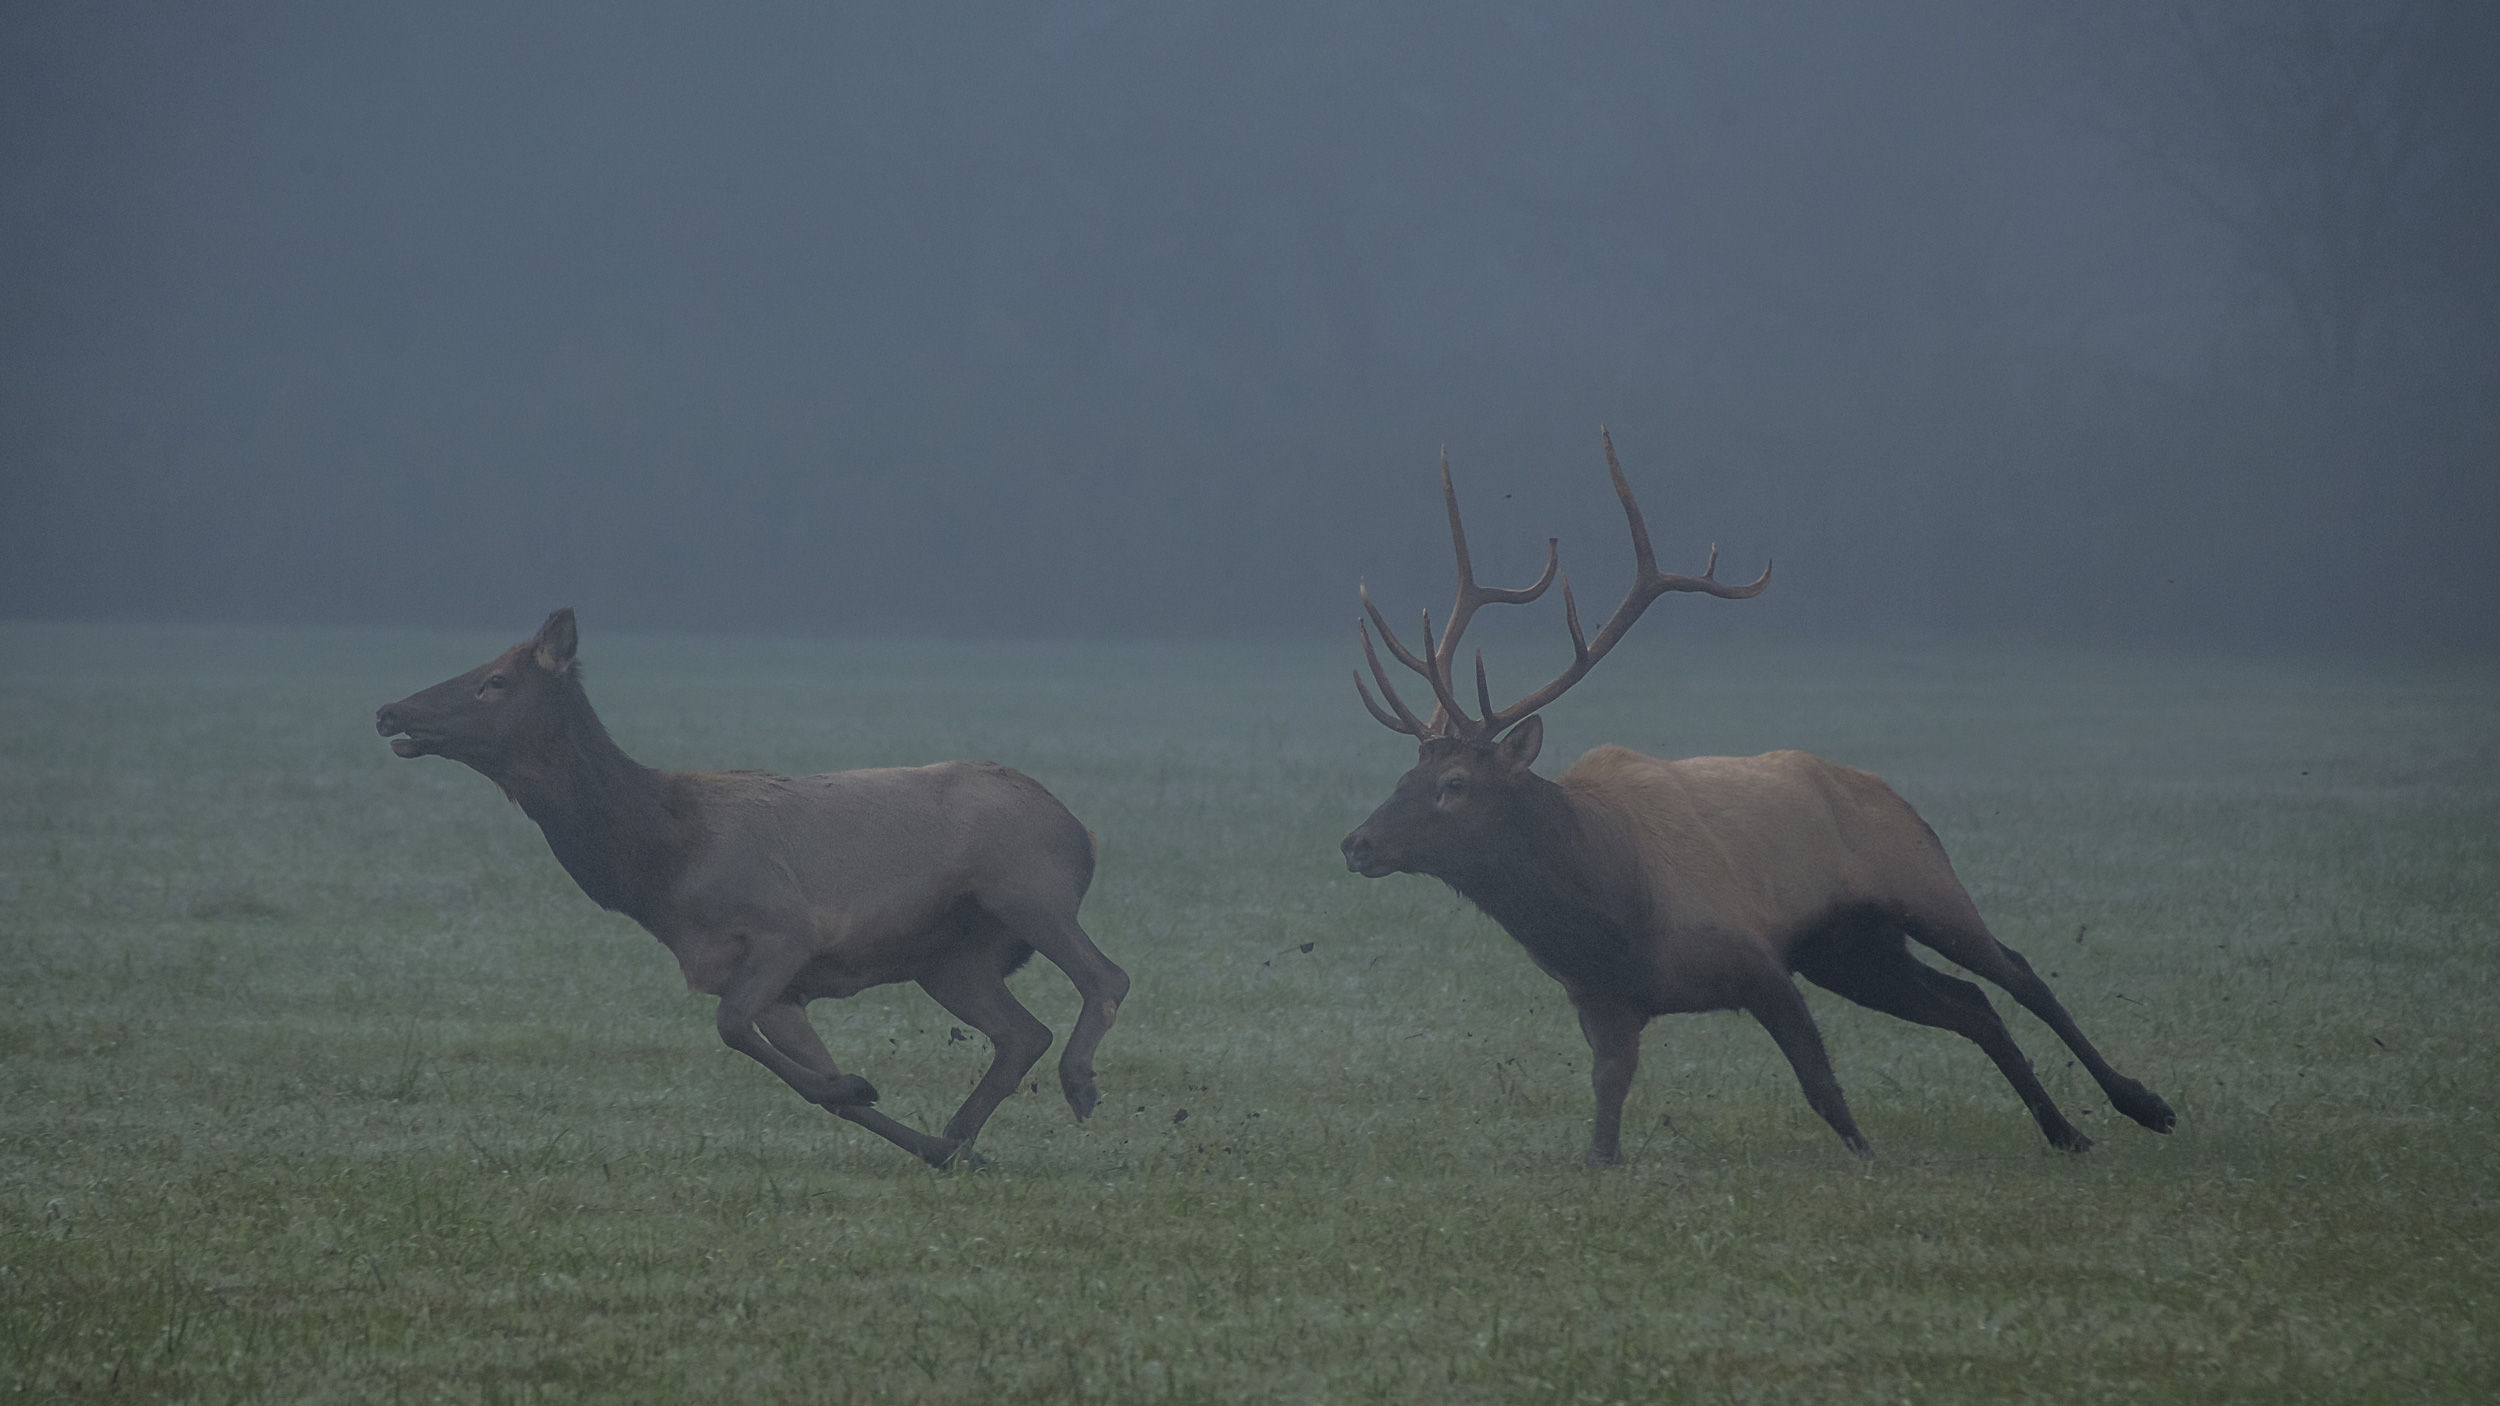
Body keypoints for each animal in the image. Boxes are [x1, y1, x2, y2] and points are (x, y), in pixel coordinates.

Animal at [374, 608, 1128, 1169]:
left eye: (494, 681)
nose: (389, 710)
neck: (658, 872)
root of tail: (1084, 830)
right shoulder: (771, 982)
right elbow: (820, 1087)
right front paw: (916, 1132)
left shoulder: (782, 930)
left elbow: (730, 1026)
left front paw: (869, 1088)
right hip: (949, 959)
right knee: (1022, 1032)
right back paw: (962, 1132)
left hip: (1027, 889)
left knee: (1106, 976)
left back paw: (1080, 1084)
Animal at [1339, 434, 2176, 1165]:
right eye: (1402, 778)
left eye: (1454, 785)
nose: (1357, 841)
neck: (1610, 914)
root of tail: (1893, 794)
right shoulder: (1606, 1005)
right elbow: (1605, 1121)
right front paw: (1603, 1159)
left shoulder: (1758, 959)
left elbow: (1823, 1086)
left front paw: (1871, 1158)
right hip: (1851, 949)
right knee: (1971, 1002)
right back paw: (2066, 1132)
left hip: (1921, 883)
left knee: (2019, 973)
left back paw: (2144, 1105)